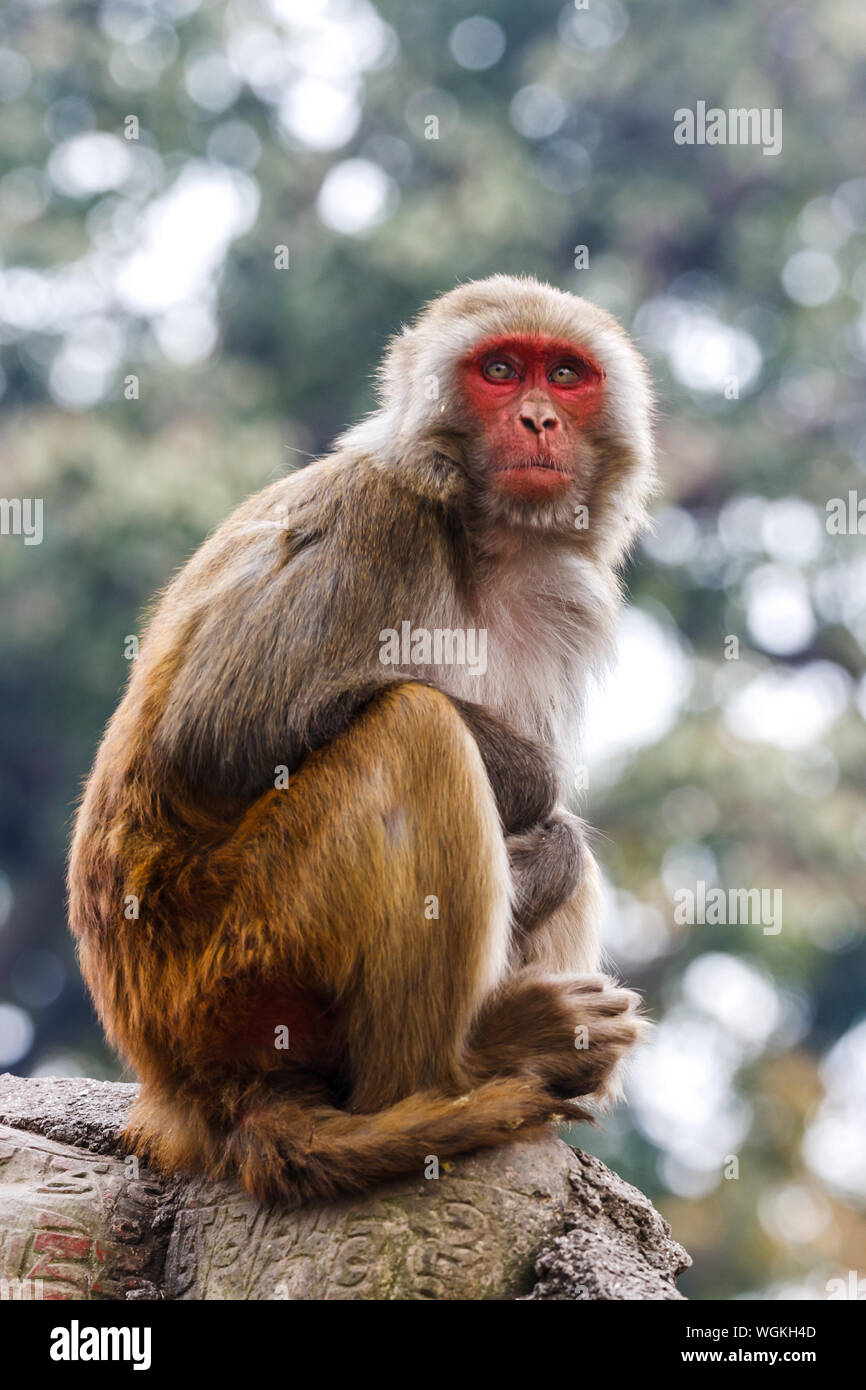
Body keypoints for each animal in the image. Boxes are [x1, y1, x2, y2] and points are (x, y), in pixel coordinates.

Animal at [67, 275, 657, 1206]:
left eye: (565, 375)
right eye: (499, 370)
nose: (538, 420)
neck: (478, 536)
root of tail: (186, 1091)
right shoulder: (374, 522)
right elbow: (220, 734)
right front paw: (537, 796)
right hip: (236, 967)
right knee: (417, 728)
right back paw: (461, 1070)